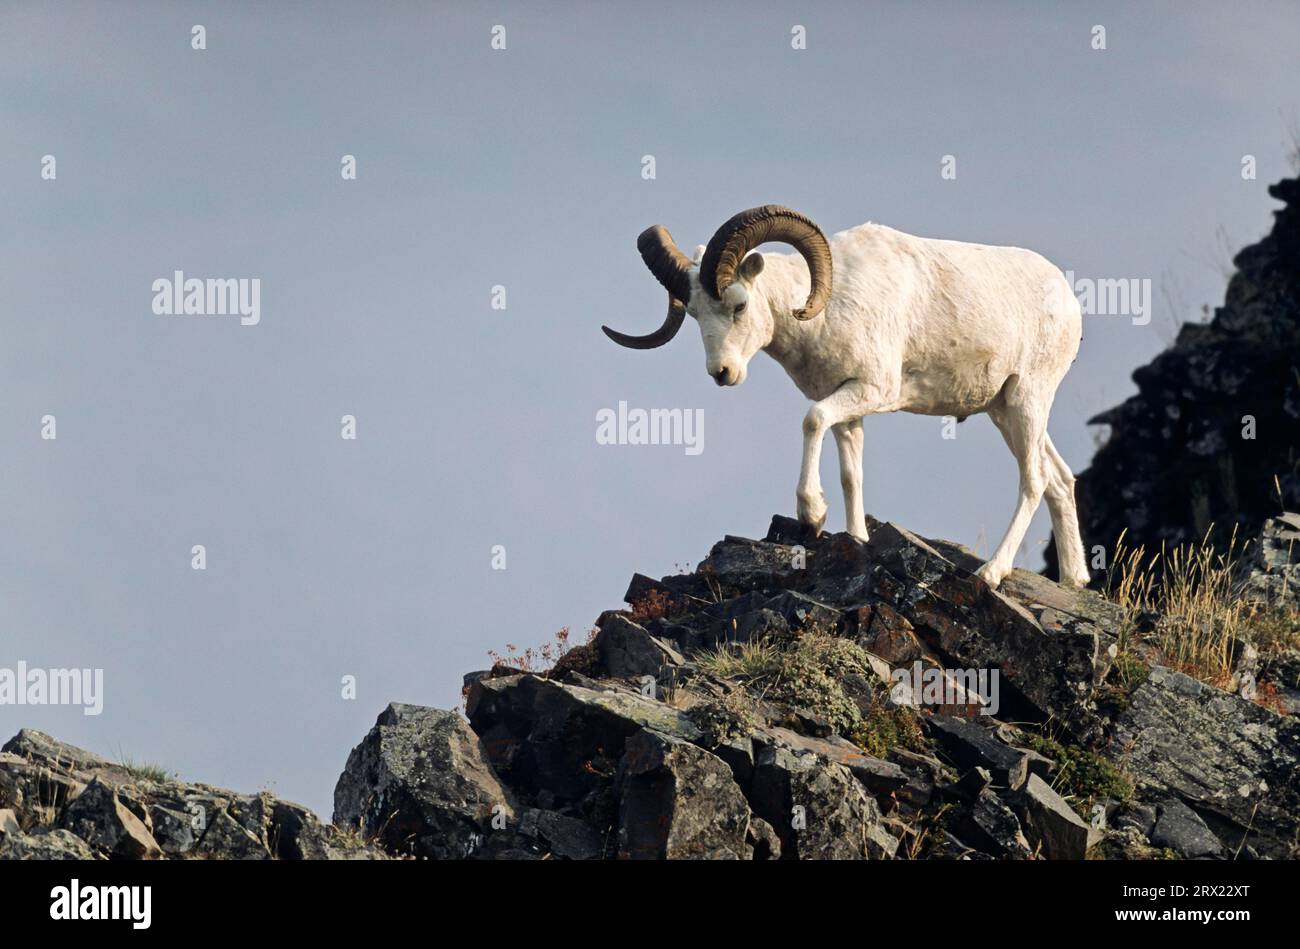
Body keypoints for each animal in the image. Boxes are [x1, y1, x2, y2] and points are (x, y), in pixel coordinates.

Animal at [603, 205, 1090, 588]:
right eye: (695, 313)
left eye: (739, 304)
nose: (722, 373)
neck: (828, 308)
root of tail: (1067, 298)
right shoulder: (850, 409)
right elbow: (850, 475)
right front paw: (856, 538)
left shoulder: (871, 389)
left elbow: (812, 420)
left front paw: (813, 515)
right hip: (1005, 411)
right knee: (1059, 479)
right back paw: (1074, 578)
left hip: (1028, 400)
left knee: (1034, 480)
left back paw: (990, 573)